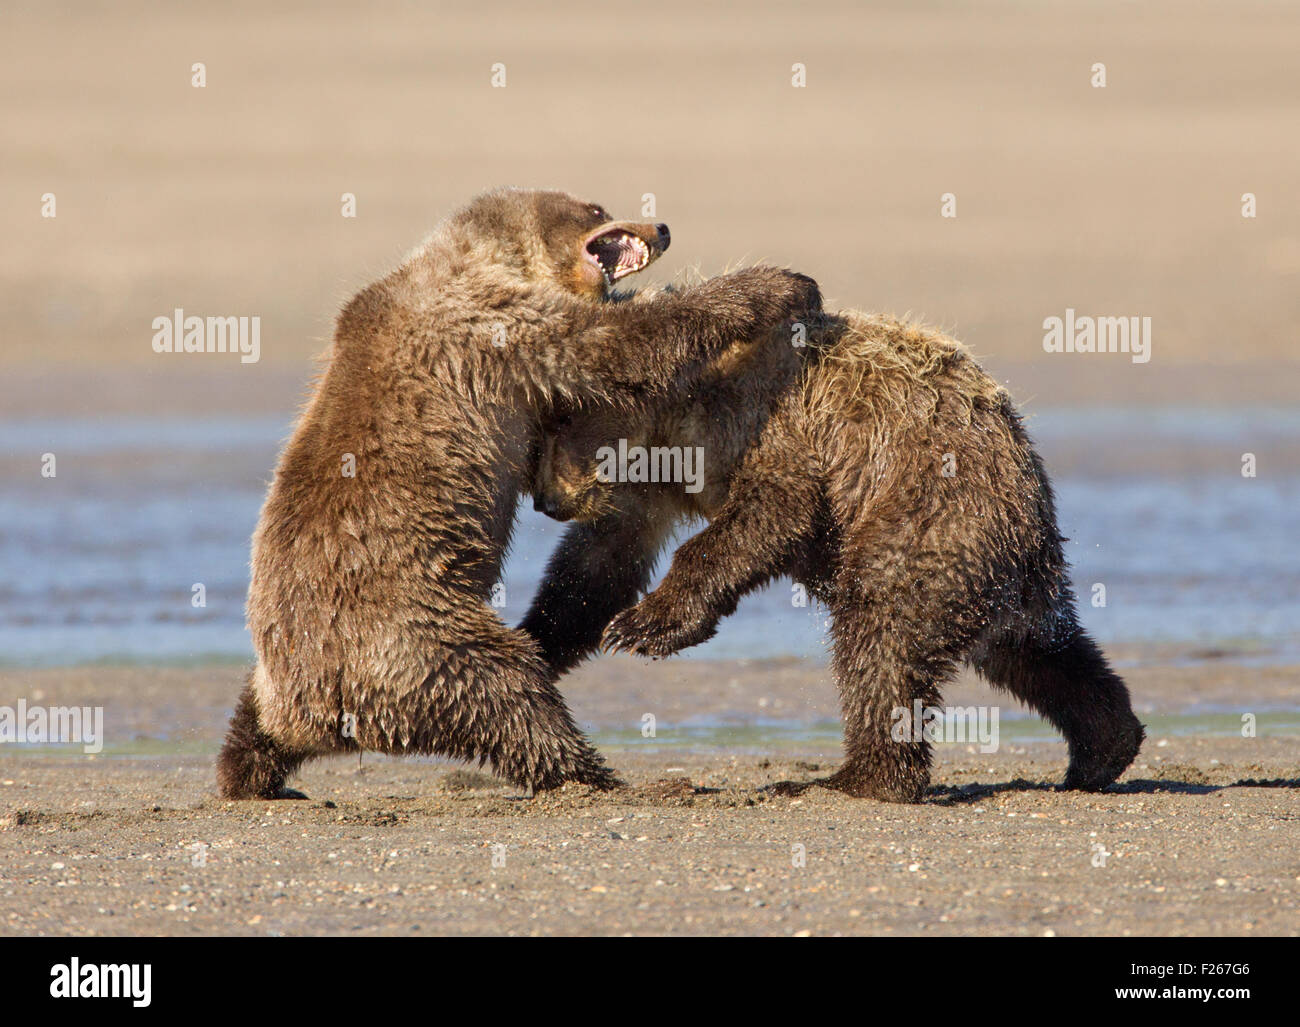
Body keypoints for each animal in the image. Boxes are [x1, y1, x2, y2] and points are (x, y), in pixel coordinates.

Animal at [216, 188, 822, 799]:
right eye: (597, 209)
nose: (663, 227)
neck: (484, 261)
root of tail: (323, 710)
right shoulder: (495, 326)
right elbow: (618, 341)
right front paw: (780, 283)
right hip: (407, 636)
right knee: (504, 690)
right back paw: (595, 773)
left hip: (288, 675)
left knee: (254, 713)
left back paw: (250, 772)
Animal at [524, 309, 1145, 803]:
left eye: (558, 424)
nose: (546, 502)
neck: (678, 424)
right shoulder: (647, 484)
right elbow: (601, 560)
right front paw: (542, 637)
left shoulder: (774, 423)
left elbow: (774, 509)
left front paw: (649, 624)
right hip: (1008, 577)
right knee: (1037, 653)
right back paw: (1103, 746)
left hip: (929, 518)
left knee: (881, 634)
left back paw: (853, 777)